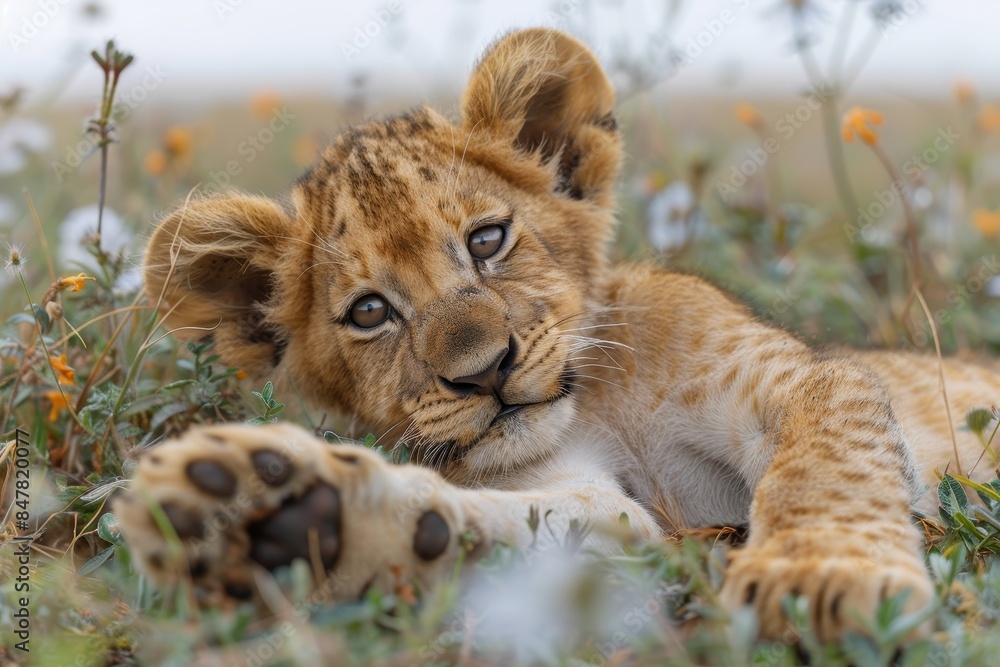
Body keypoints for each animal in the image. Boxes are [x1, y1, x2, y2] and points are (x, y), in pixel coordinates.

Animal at [114, 27, 999, 642]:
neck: (601, 397)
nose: (484, 370)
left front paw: (820, 579)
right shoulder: (599, 503)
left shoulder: (795, 379)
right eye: (369, 312)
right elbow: (503, 524)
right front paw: (279, 520)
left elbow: (824, 462)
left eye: (487, 239)